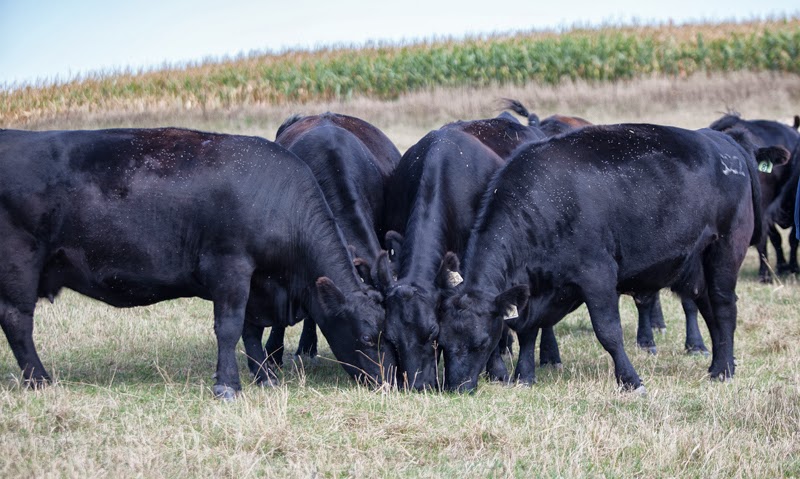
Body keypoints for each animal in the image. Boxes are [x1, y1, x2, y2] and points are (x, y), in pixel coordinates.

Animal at [437, 123, 789, 393]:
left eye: (483, 342)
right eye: (441, 342)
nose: (456, 388)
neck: (547, 200)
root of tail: (723, 140)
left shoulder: (597, 274)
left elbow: (608, 331)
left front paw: (631, 380)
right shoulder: (534, 289)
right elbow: (527, 330)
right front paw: (524, 376)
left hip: (726, 247)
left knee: (724, 306)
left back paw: (724, 371)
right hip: (697, 263)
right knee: (709, 309)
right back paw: (717, 364)